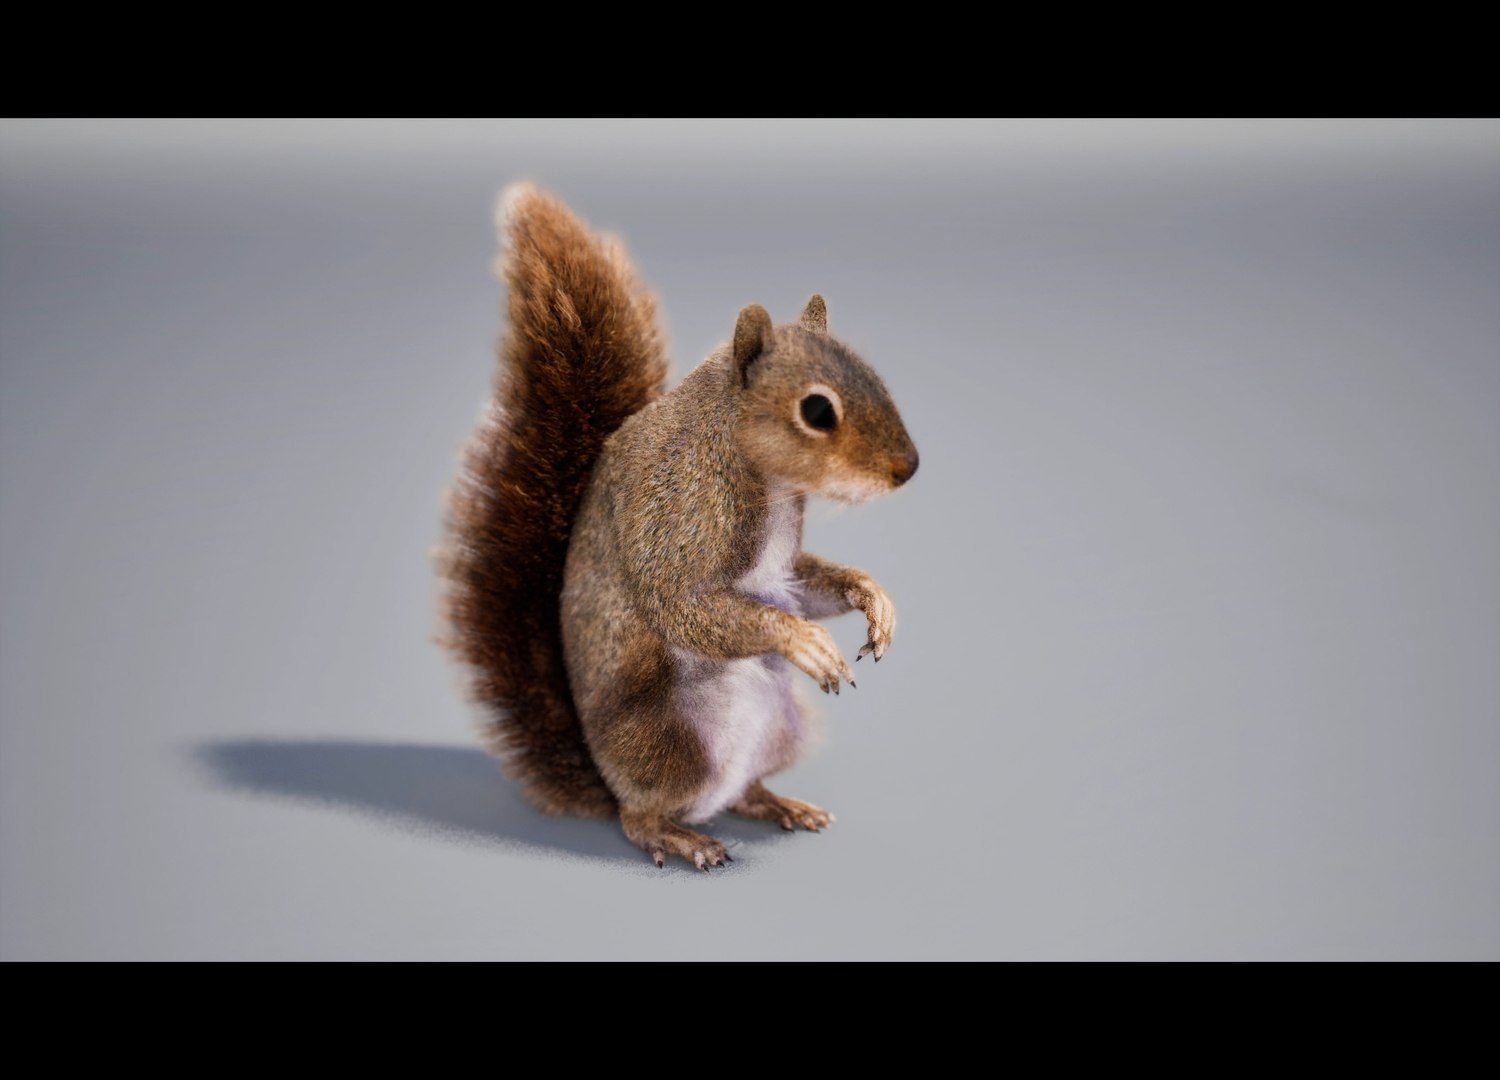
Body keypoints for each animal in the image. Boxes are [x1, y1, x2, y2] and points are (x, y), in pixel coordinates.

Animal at [440, 185, 918, 869]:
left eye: (873, 374)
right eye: (817, 409)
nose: (909, 467)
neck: (762, 477)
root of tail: (607, 780)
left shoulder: (780, 568)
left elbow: (802, 587)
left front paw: (872, 598)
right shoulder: (675, 519)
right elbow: (684, 606)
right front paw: (804, 642)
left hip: (779, 728)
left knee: (743, 790)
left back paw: (778, 803)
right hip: (670, 745)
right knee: (639, 817)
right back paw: (677, 836)